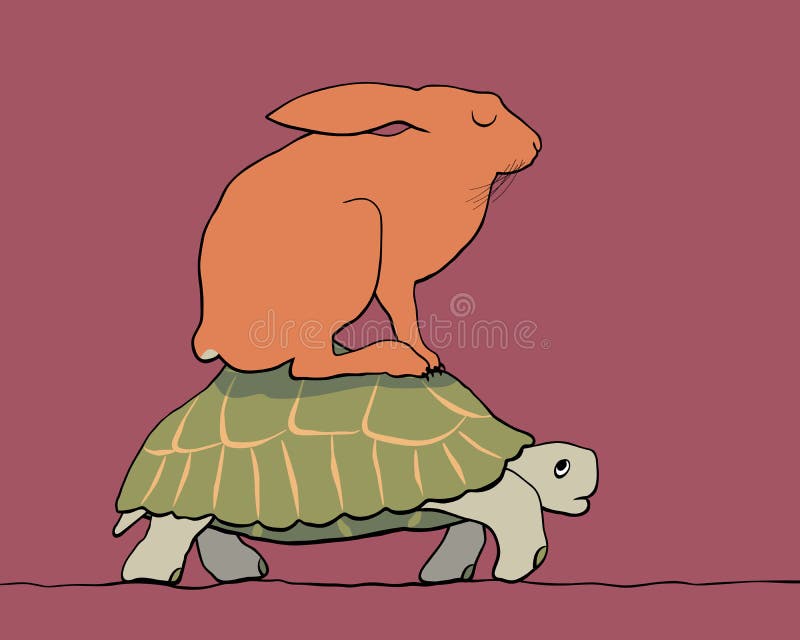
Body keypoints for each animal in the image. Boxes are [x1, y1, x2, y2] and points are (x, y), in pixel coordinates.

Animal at [193, 83, 541, 378]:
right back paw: (400, 360)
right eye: (482, 120)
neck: (435, 164)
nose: (537, 144)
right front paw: (429, 360)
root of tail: (212, 334)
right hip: (358, 230)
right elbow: (405, 316)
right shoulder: (394, 277)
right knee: (310, 365)